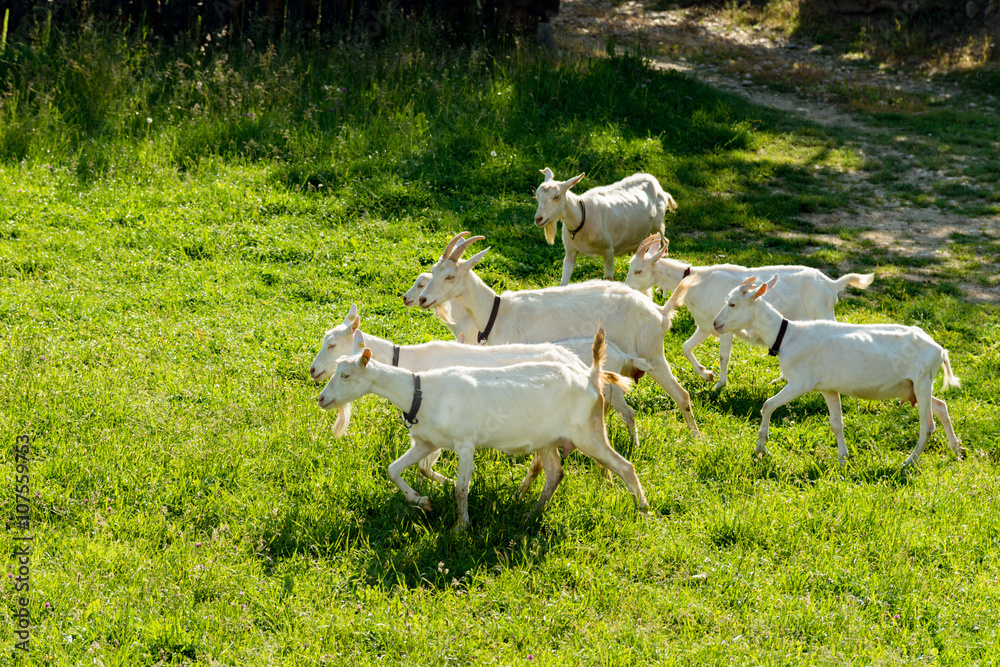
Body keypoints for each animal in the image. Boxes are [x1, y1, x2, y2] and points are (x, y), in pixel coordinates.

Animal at [317, 327, 648, 529]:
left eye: (345, 375)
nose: (321, 398)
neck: (421, 390)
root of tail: (591, 377)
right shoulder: (426, 443)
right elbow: (393, 470)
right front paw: (422, 501)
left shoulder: (465, 444)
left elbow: (461, 489)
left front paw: (461, 527)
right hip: (548, 439)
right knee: (554, 474)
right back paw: (530, 513)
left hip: (589, 433)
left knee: (625, 467)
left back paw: (643, 510)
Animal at [417, 232, 700, 437]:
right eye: (433, 272)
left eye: (450, 276)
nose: (422, 299)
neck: (496, 312)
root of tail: (660, 313)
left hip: (652, 354)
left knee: (682, 395)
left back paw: (694, 439)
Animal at [533, 168, 677, 286]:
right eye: (537, 196)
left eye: (557, 197)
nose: (538, 219)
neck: (582, 217)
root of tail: (660, 188)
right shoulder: (570, 252)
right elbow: (564, 282)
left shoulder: (608, 249)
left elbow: (608, 278)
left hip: (658, 226)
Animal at [626, 233, 875, 391]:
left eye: (638, 270)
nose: (626, 287)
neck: (697, 281)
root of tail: (830, 284)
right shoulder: (706, 326)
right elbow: (686, 347)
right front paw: (706, 374)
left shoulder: (725, 327)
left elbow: (723, 356)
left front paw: (719, 384)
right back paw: (780, 380)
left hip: (823, 316)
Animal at [710, 275, 963, 467]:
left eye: (732, 304)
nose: (715, 323)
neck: (788, 335)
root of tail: (940, 350)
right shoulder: (827, 387)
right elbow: (836, 423)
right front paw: (843, 458)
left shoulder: (800, 382)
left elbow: (767, 405)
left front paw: (761, 447)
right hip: (915, 386)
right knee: (941, 406)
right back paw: (957, 450)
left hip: (921, 382)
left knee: (927, 427)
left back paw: (908, 462)